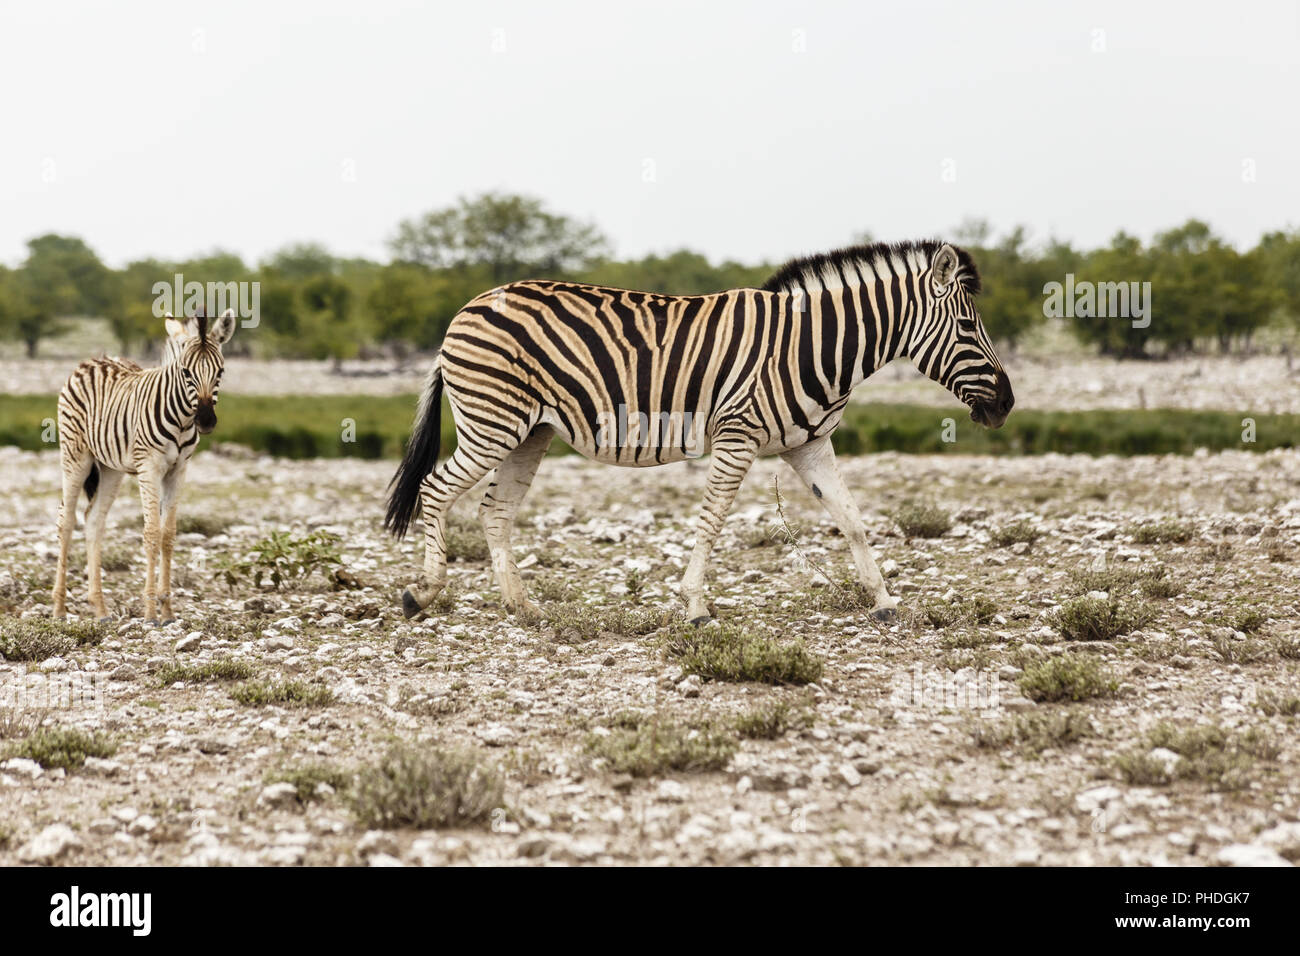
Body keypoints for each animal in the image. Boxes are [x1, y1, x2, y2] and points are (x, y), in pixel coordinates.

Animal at [52, 309, 236, 622]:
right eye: (186, 373)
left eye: (220, 372)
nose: (206, 422)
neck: (182, 420)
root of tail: (94, 359)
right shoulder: (149, 466)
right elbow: (151, 532)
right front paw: (151, 612)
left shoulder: (179, 469)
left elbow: (168, 534)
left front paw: (168, 610)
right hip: (75, 455)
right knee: (66, 521)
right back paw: (59, 608)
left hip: (111, 468)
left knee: (94, 520)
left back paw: (100, 608)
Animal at [384, 240, 1014, 624]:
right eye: (967, 326)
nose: (1007, 404)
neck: (814, 348)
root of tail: (466, 308)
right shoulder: (738, 436)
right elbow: (712, 522)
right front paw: (695, 606)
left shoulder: (810, 444)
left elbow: (853, 520)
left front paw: (882, 599)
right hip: (493, 422)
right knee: (435, 489)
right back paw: (422, 593)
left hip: (529, 432)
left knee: (494, 511)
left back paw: (524, 607)